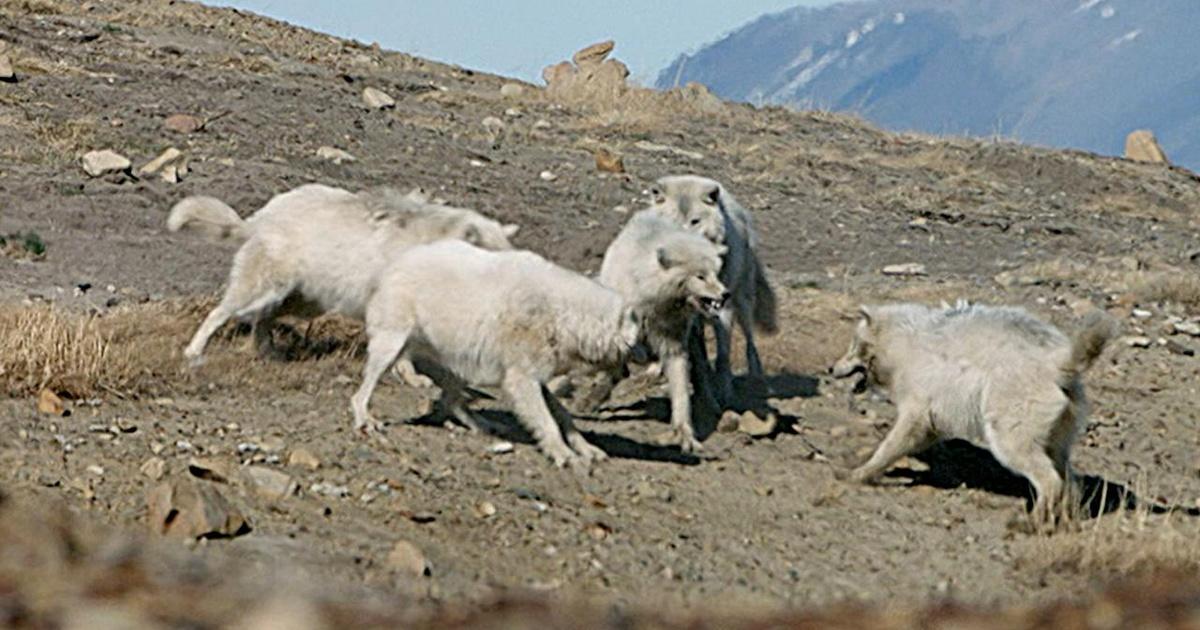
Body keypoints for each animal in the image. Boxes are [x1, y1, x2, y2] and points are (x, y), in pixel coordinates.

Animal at [167, 183, 519, 375]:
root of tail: (263, 214)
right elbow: (402, 352)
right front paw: (408, 375)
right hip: (264, 286)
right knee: (221, 312)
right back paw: (194, 352)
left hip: (303, 301)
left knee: (264, 318)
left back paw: (266, 352)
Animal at [351, 236, 726, 468]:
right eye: (643, 333)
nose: (663, 356)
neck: (565, 314)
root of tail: (397, 261)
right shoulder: (522, 380)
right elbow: (549, 422)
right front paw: (563, 455)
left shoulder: (538, 380)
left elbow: (565, 417)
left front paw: (586, 449)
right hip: (390, 345)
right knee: (362, 392)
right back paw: (366, 420)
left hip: (455, 365)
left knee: (451, 400)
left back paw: (482, 425)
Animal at [597, 211, 730, 452]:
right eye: (700, 276)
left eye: (715, 274)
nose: (726, 294)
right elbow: (630, 353)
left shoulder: (674, 344)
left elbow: (680, 389)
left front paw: (685, 434)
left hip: (694, 340)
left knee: (701, 371)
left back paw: (710, 404)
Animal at [646, 175, 777, 405]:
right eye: (669, 221)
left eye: (695, 221)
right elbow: (698, 357)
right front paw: (704, 392)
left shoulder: (723, 308)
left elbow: (723, 355)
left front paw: (724, 393)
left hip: (743, 299)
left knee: (750, 340)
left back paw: (757, 377)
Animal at [830, 301, 1118, 529]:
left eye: (854, 345)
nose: (831, 367)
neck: (901, 342)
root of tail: (1060, 363)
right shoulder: (936, 411)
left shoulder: (920, 401)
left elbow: (895, 441)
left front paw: (860, 472)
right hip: (1058, 429)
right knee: (1066, 475)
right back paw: (1066, 516)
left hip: (1011, 423)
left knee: (1048, 478)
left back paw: (1033, 521)